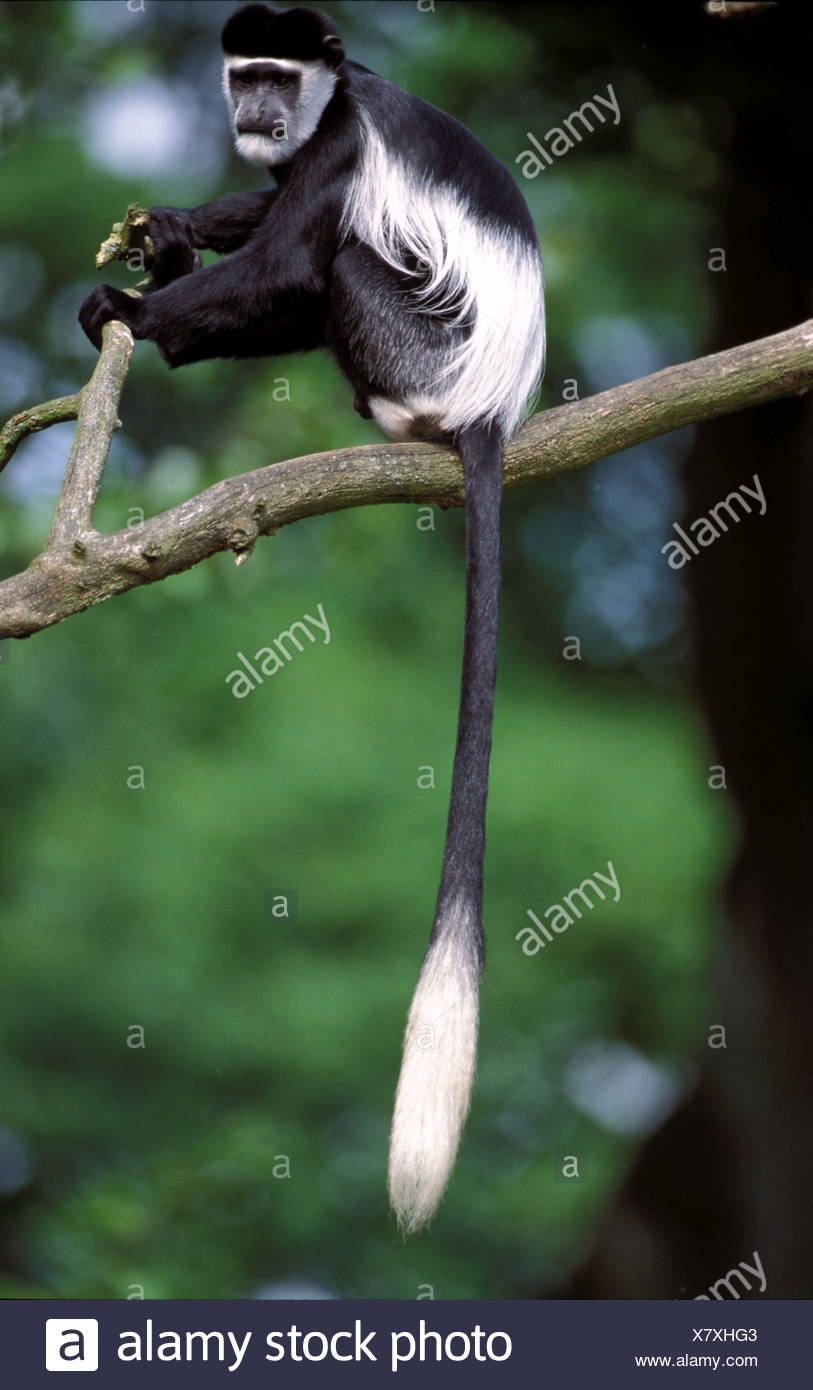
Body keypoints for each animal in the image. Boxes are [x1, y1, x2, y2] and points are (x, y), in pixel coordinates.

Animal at [79, 3, 545, 1234]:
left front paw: (130, 305)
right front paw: (174, 228)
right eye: (242, 74)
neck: (338, 94)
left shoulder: (341, 146)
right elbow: (265, 208)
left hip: (411, 336)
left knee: (327, 267)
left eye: (277, 77)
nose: (253, 111)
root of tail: (488, 408)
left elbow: (293, 251)